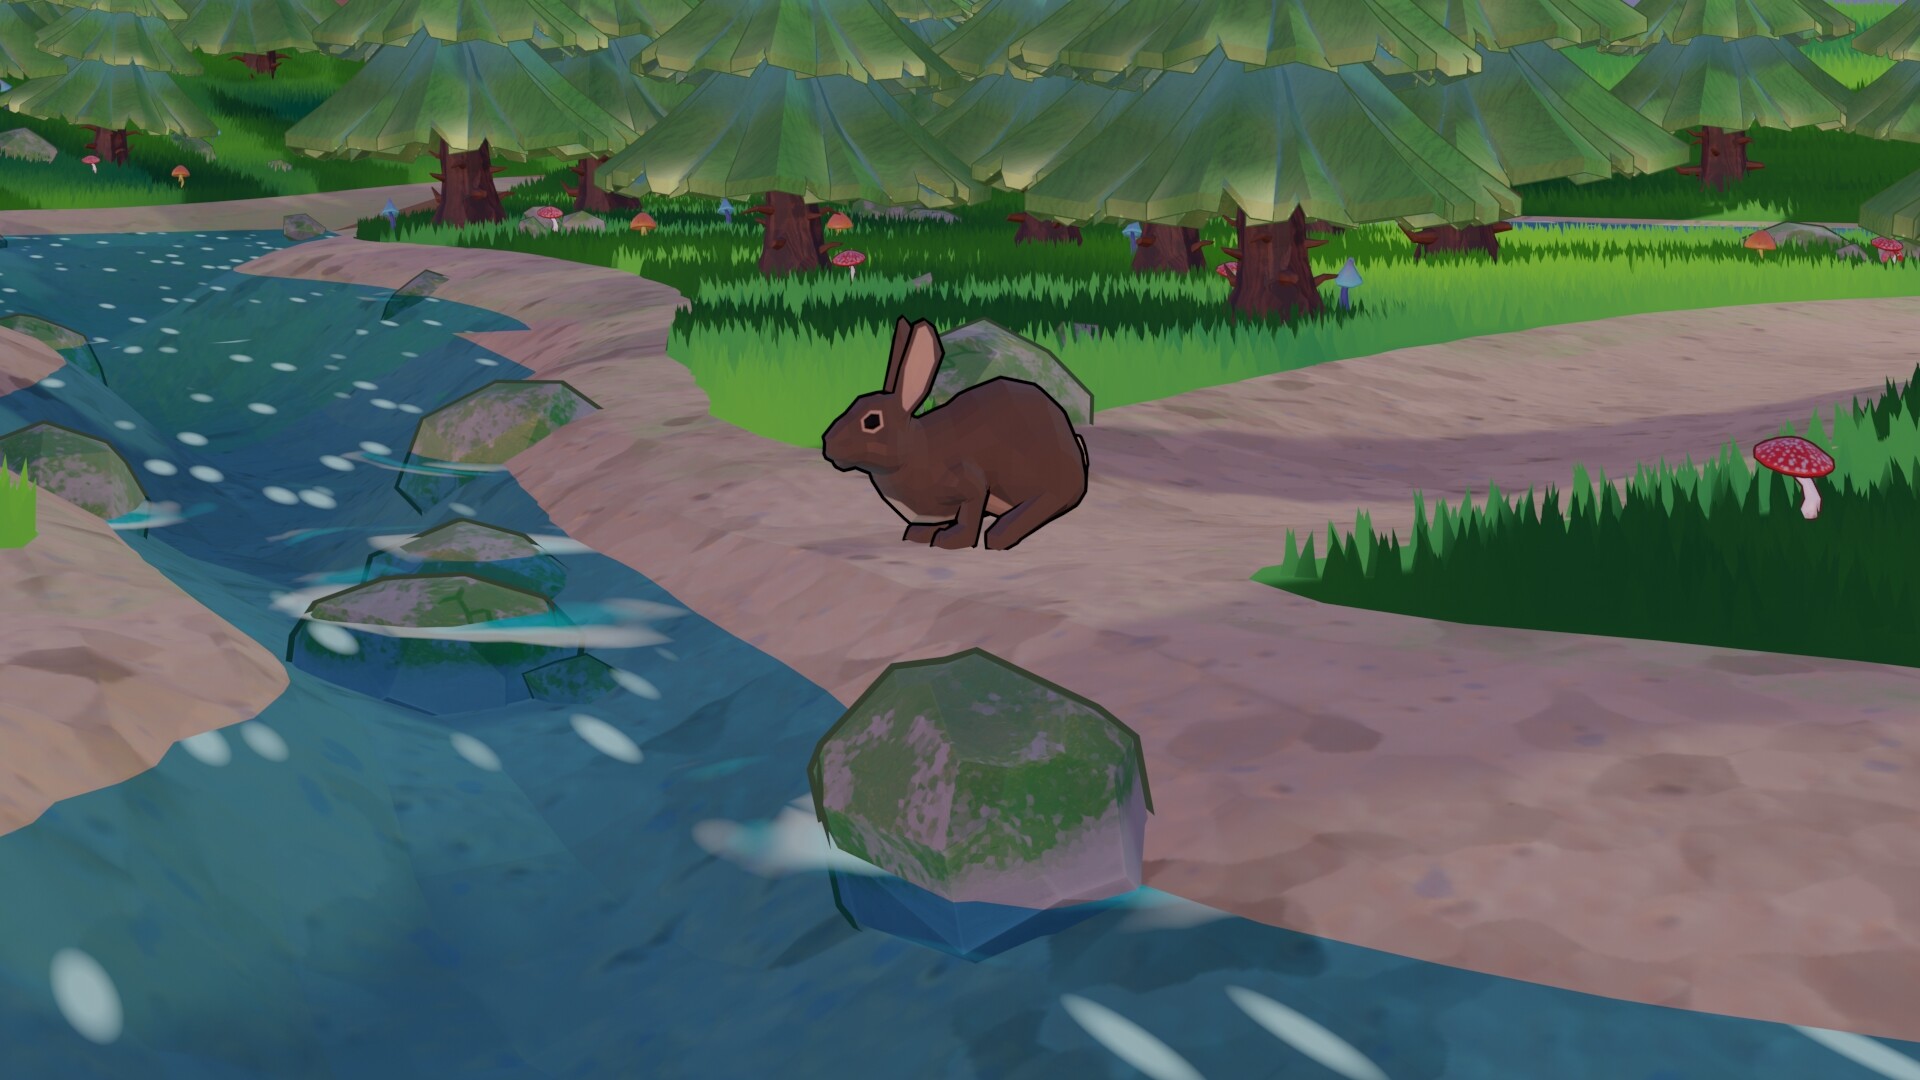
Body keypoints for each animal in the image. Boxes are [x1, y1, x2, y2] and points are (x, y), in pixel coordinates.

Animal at [821, 317, 1089, 551]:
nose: (827, 443)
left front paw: (950, 540)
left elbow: (969, 513)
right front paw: (918, 534)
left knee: (1052, 499)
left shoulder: (968, 479)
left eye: (872, 421)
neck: (915, 448)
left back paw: (1001, 533)